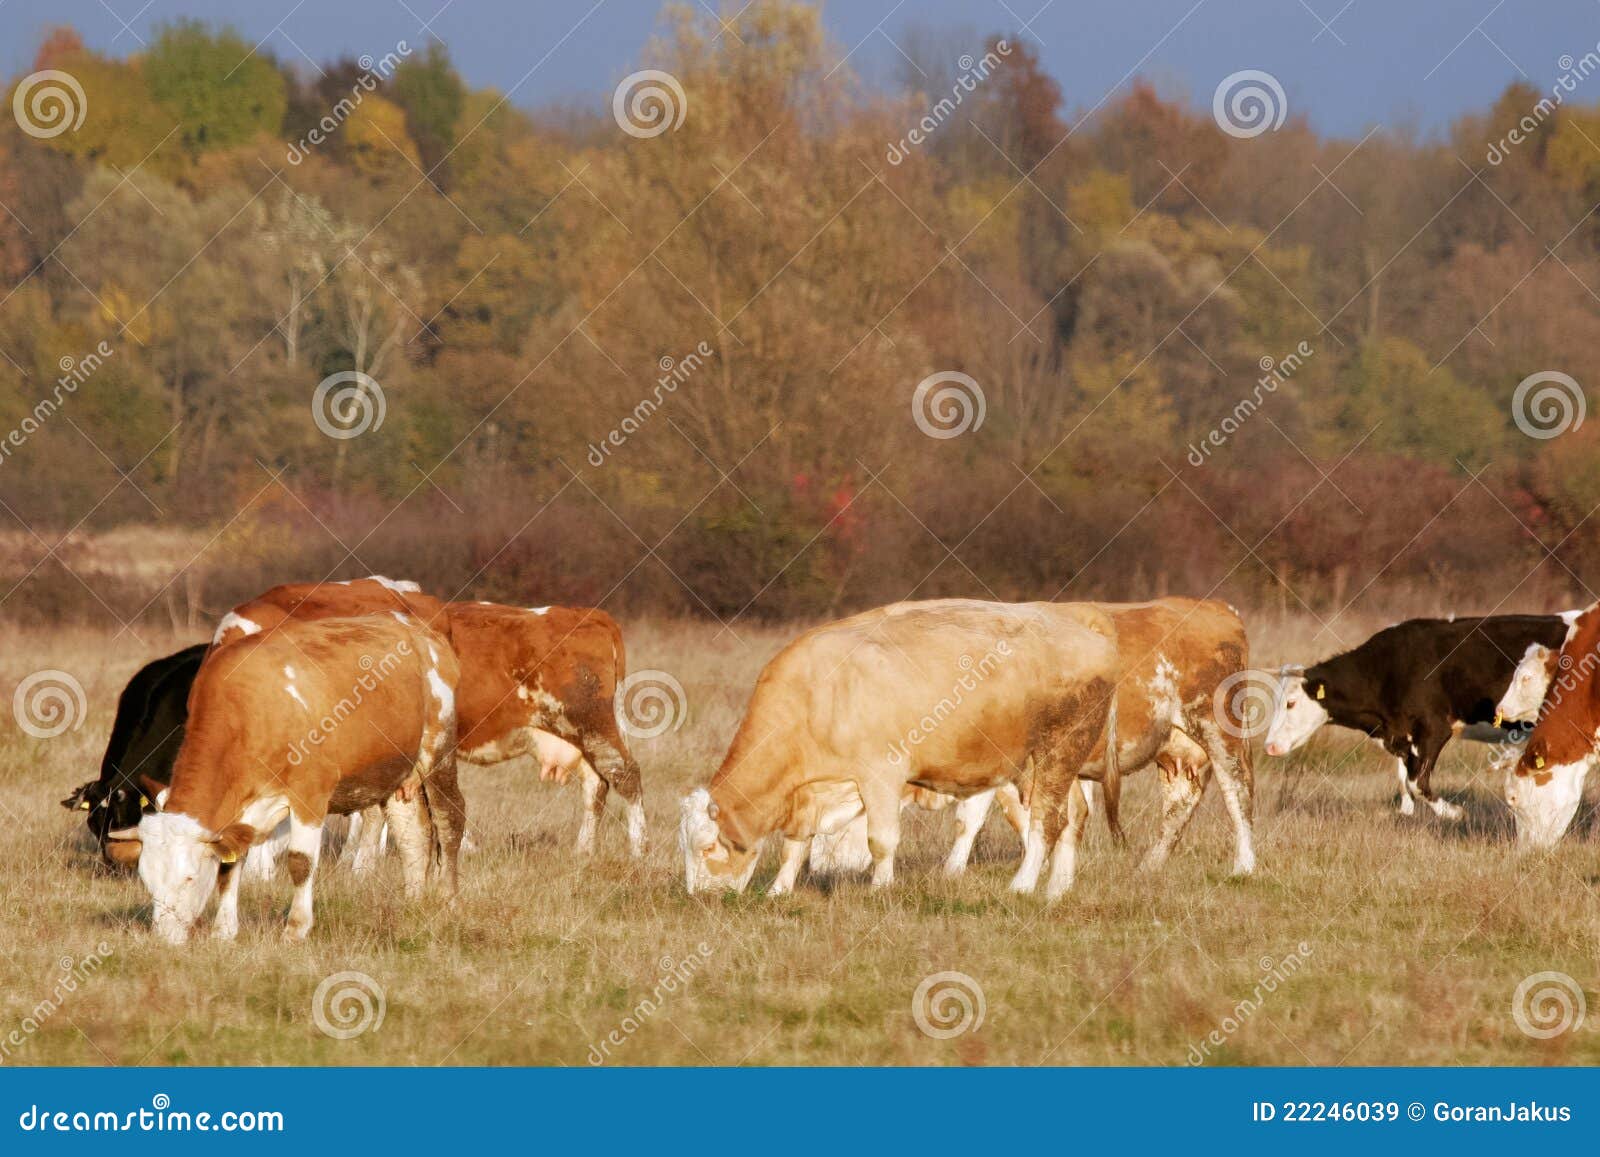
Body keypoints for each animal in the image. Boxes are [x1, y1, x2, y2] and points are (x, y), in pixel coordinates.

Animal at [136, 615, 461, 943]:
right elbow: (230, 868)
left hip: (439, 752)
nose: (165, 937)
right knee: (413, 834)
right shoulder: (240, 811)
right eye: (147, 880)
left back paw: (448, 900)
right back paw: (413, 901)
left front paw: (295, 929)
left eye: (188, 878)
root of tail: (423, 634)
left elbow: (300, 862)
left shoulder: (310, 794)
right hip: (398, 772)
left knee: (449, 824)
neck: (250, 713)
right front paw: (223, 931)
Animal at [678, 599, 1118, 901]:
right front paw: (778, 891)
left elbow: (881, 840)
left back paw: (1024, 884)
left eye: (706, 846)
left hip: (1057, 752)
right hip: (1056, 765)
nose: (699, 899)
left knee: (1046, 821)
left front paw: (880, 888)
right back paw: (1057, 888)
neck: (818, 694)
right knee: (1074, 815)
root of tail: (1091, 637)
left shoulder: (880, 775)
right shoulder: (809, 792)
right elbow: (794, 846)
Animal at [809, 598, 1256, 883]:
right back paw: (1149, 867)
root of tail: (1215, 608)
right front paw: (955, 871)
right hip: (1177, 748)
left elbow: (1013, 817)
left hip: (1218, 729)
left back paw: (1245, 866)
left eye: (826, 831)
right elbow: (974, 818)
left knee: (1238, 793)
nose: (817, 872)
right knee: (1181, 803)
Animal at [1263, 614, 1573, 819]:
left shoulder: (1434, 728)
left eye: (1290, 703)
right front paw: (1407, 812)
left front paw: (1453, 812)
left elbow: (1416, 780)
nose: (1269, 746)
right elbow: (1403, 778)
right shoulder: (1401, 735)